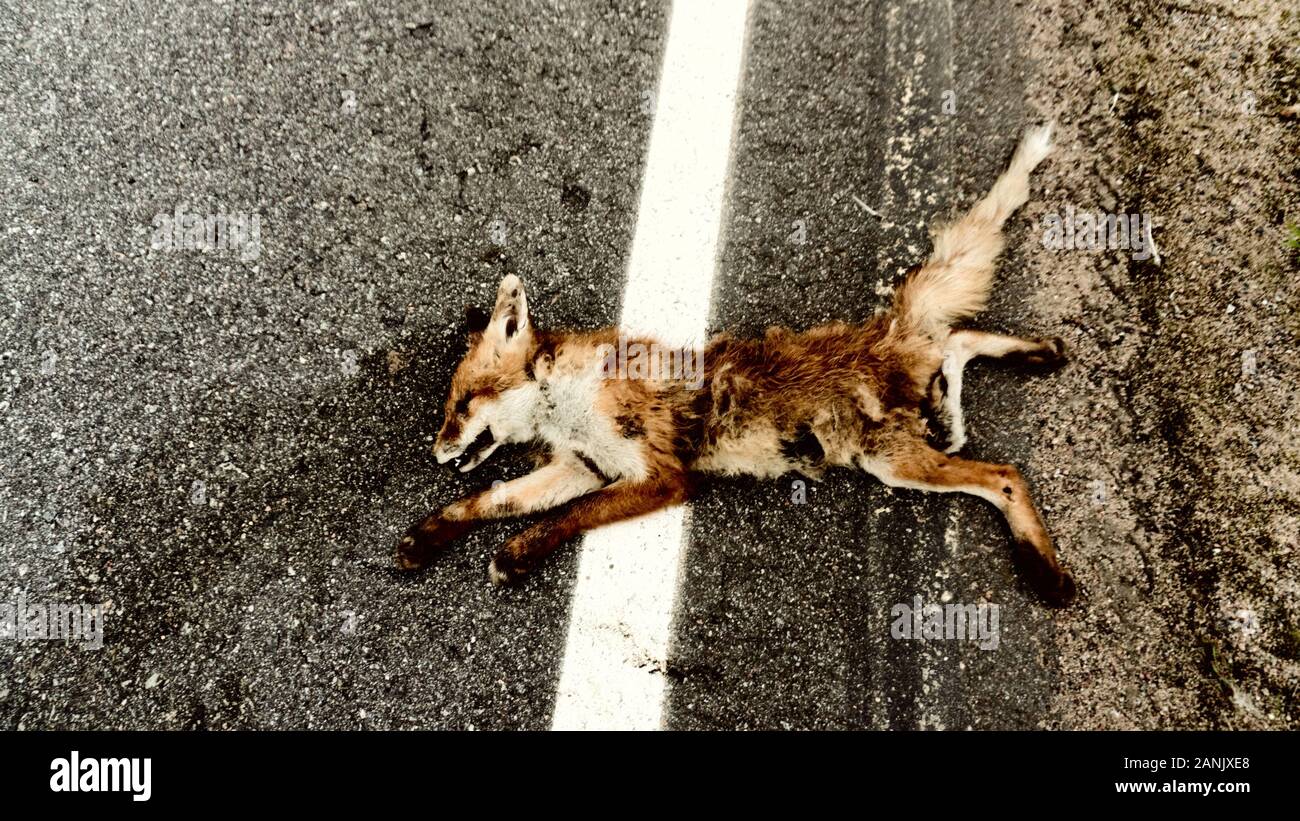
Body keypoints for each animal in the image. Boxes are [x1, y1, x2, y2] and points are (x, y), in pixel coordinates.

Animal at [396, 124, 1077, 607]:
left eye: (461, 403)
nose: (434, 449)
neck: (566, 402)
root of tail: (885, 334)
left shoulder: (659, 475)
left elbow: (565, 517)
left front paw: (514, 555)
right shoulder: (583, 465)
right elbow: (490, 499)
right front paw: (430, 537)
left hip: (891, 460)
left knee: (1005, 473)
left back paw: (1048, 576)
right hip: (912, 422)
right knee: (957, 342)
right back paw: (1038, 355)